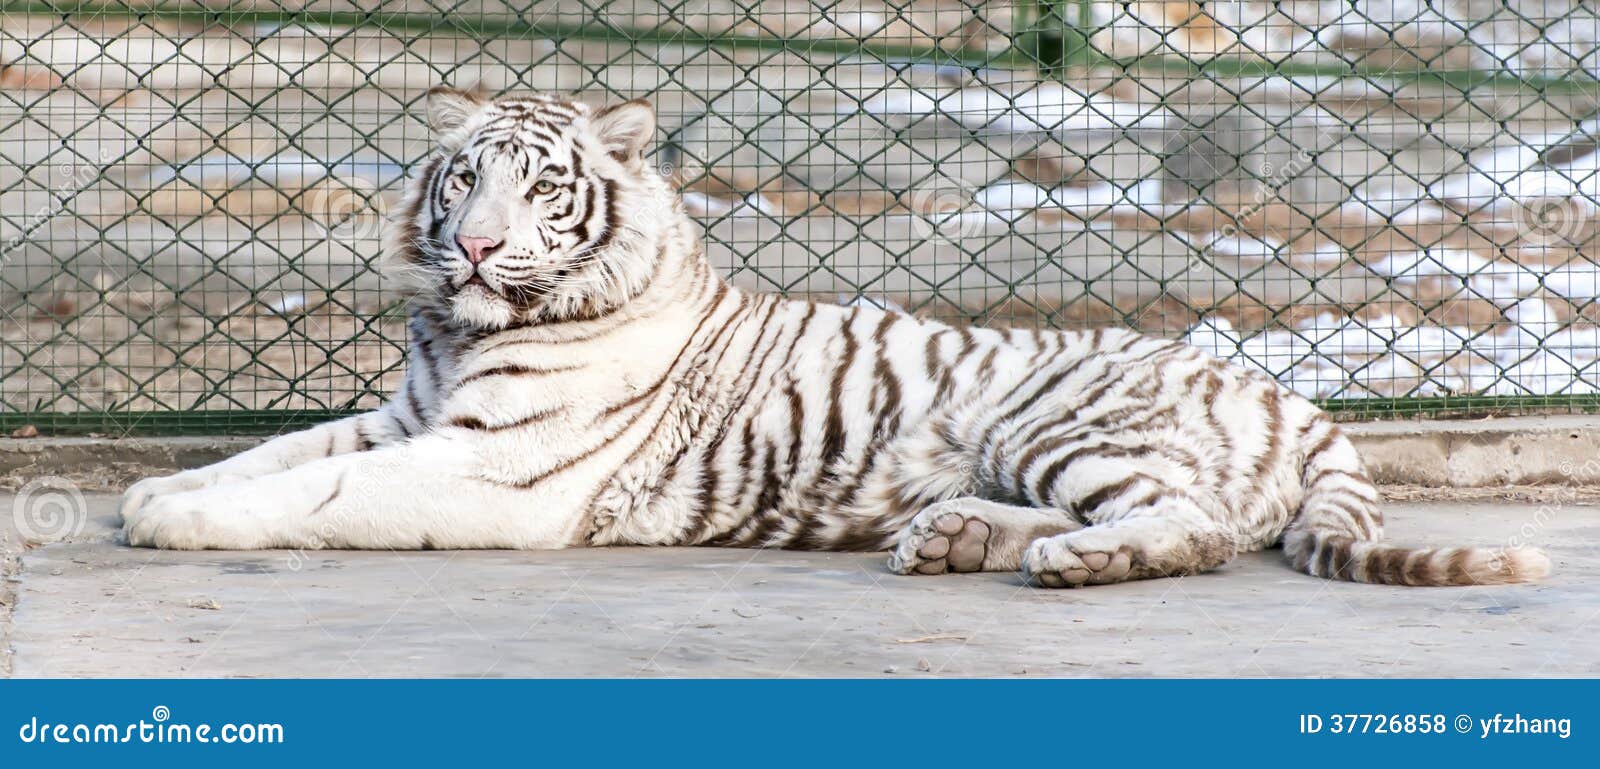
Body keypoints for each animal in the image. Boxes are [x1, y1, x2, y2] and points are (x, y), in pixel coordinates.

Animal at [118, 87, 1551, 588]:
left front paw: (171, 518)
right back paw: (956, 539)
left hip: (1063, 412)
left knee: (1187, 526)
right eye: (460, 180)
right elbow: (273, 452)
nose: (471, 247)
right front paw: (151, 489)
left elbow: (313, 489)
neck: (462, 331)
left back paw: (1065, 563)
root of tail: (1299, 400)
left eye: (538, 189)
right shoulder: (408, 415)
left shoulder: (490, 468)